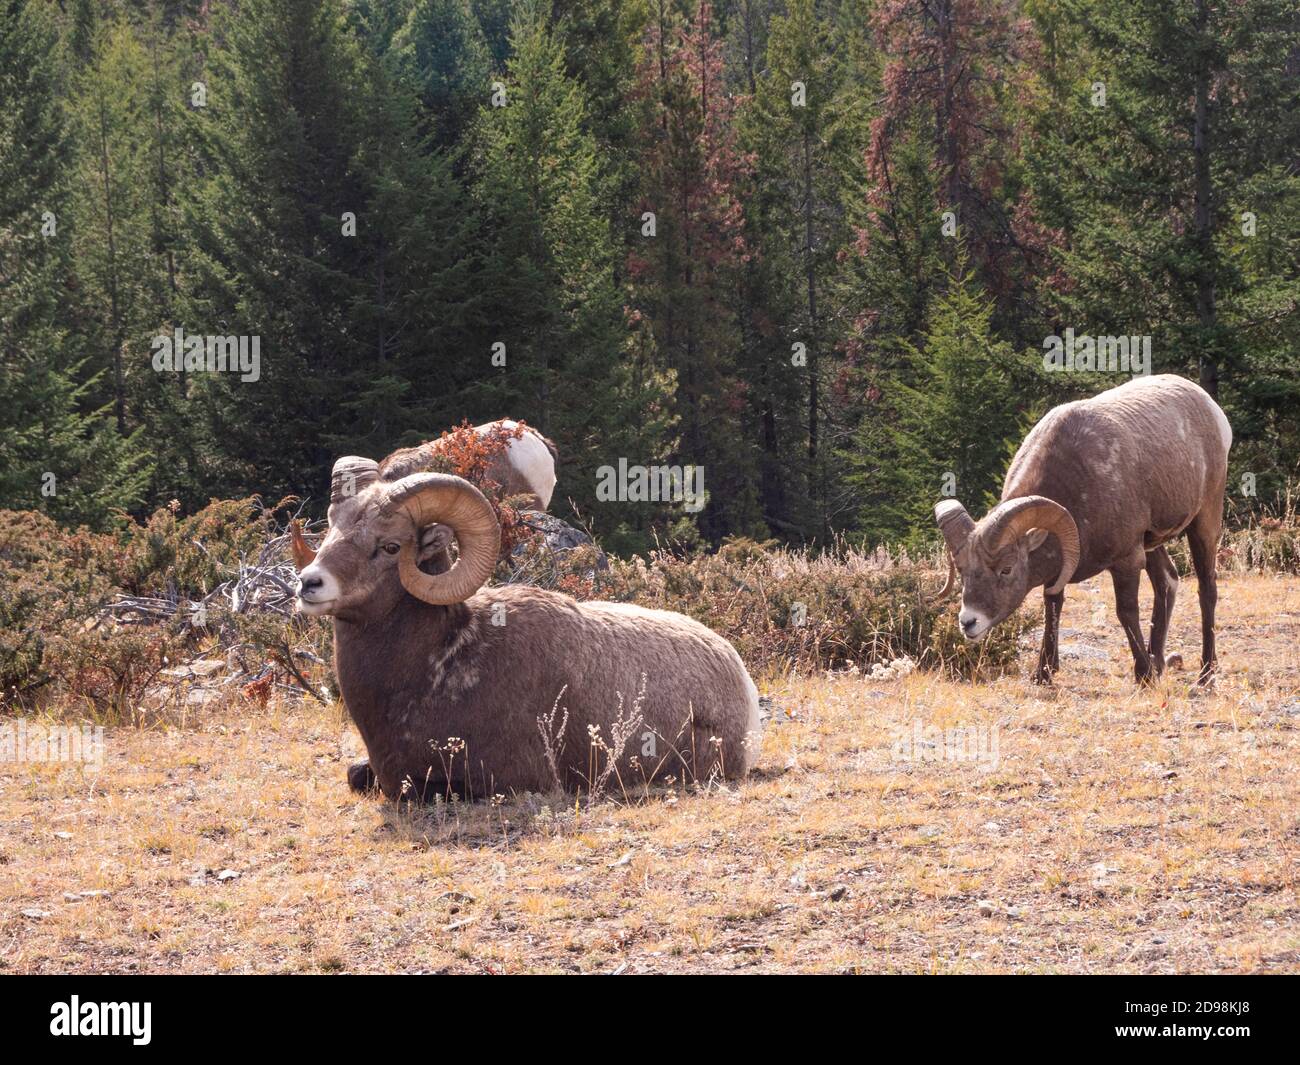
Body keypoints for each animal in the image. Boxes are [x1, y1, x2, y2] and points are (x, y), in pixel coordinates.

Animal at [932, 374, 1231, 685]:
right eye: (962, 570)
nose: (968, 622)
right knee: (1167, 582)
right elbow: (1053, 605)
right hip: (1153, 544)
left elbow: (1126, 612)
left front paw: (1143, 676)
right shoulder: (1065, 569)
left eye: (1006, 569)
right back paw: (1159, 663)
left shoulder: (1127, 560)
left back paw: (1205, 675)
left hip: (1204, 522)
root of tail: (1211, 408)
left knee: (1207, 590)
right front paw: (1044, 674)